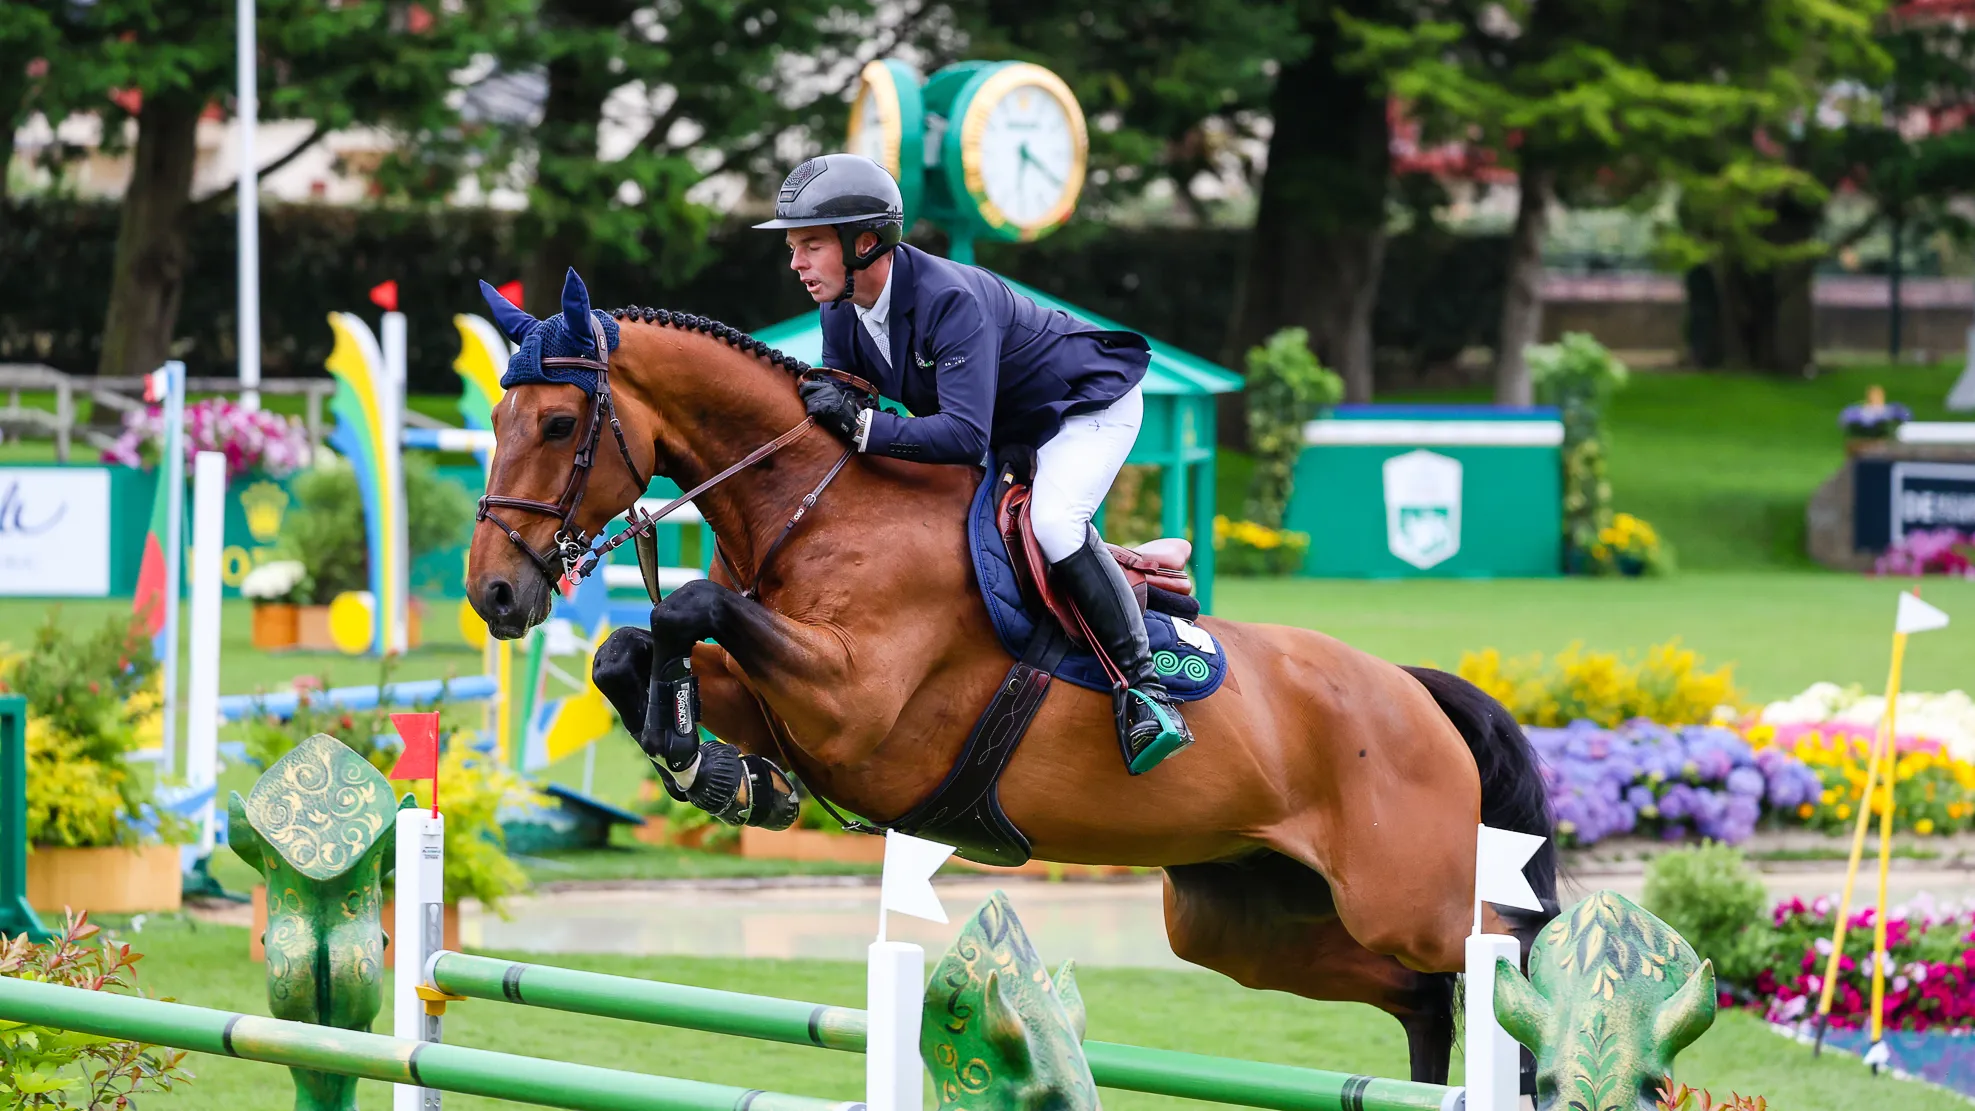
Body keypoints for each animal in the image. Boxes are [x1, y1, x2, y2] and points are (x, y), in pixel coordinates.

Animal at [464, 277, 1558, 1085]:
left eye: (558, 423)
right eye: (498, 416)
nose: (494, 594)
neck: (820, 508)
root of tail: (1414, 692)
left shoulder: (856, 706)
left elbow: (684, 607)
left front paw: (697, 757)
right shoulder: (789, 692)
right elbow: (632, 648)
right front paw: (722, 774)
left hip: (1404, 894)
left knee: (1509, 952)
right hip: (1242, 919)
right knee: (1422, 995)